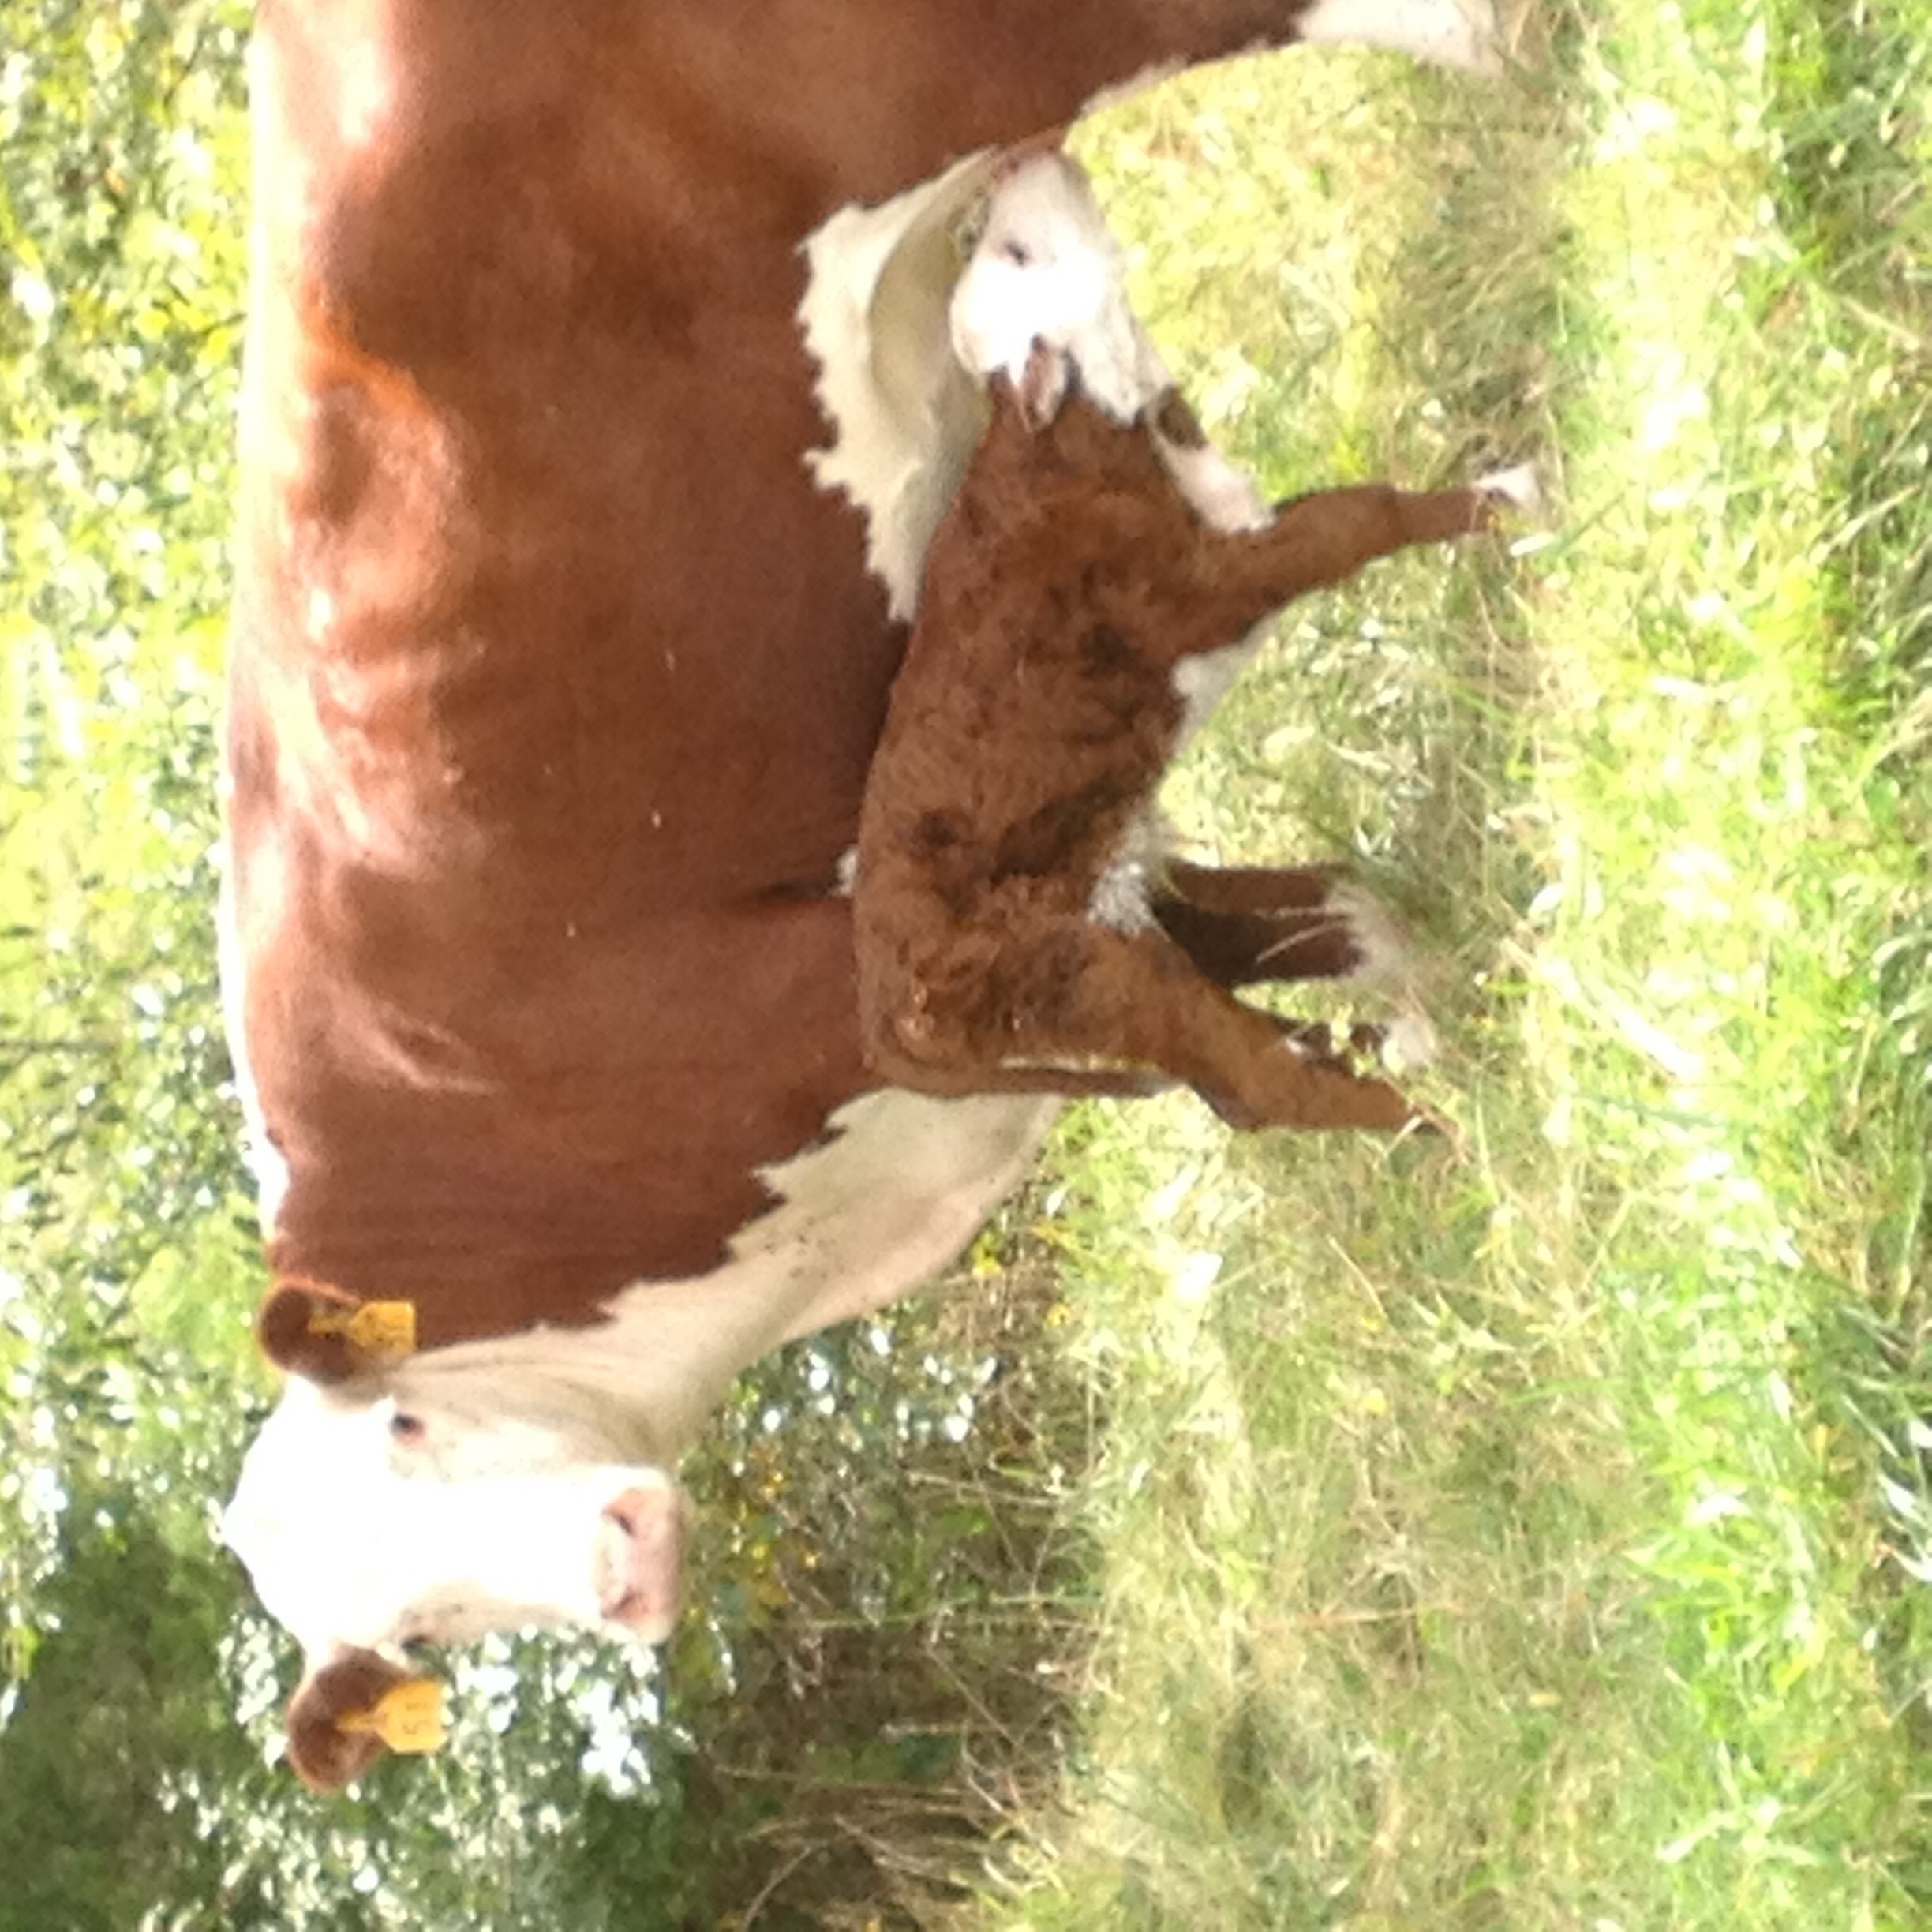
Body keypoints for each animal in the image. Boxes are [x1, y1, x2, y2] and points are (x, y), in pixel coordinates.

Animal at [217, 0, 1504, 1790]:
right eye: (426, 1634)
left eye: (412, 1423)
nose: (622, 1560)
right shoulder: (1035, 892)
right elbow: (1298, 931)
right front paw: (1448, 981)